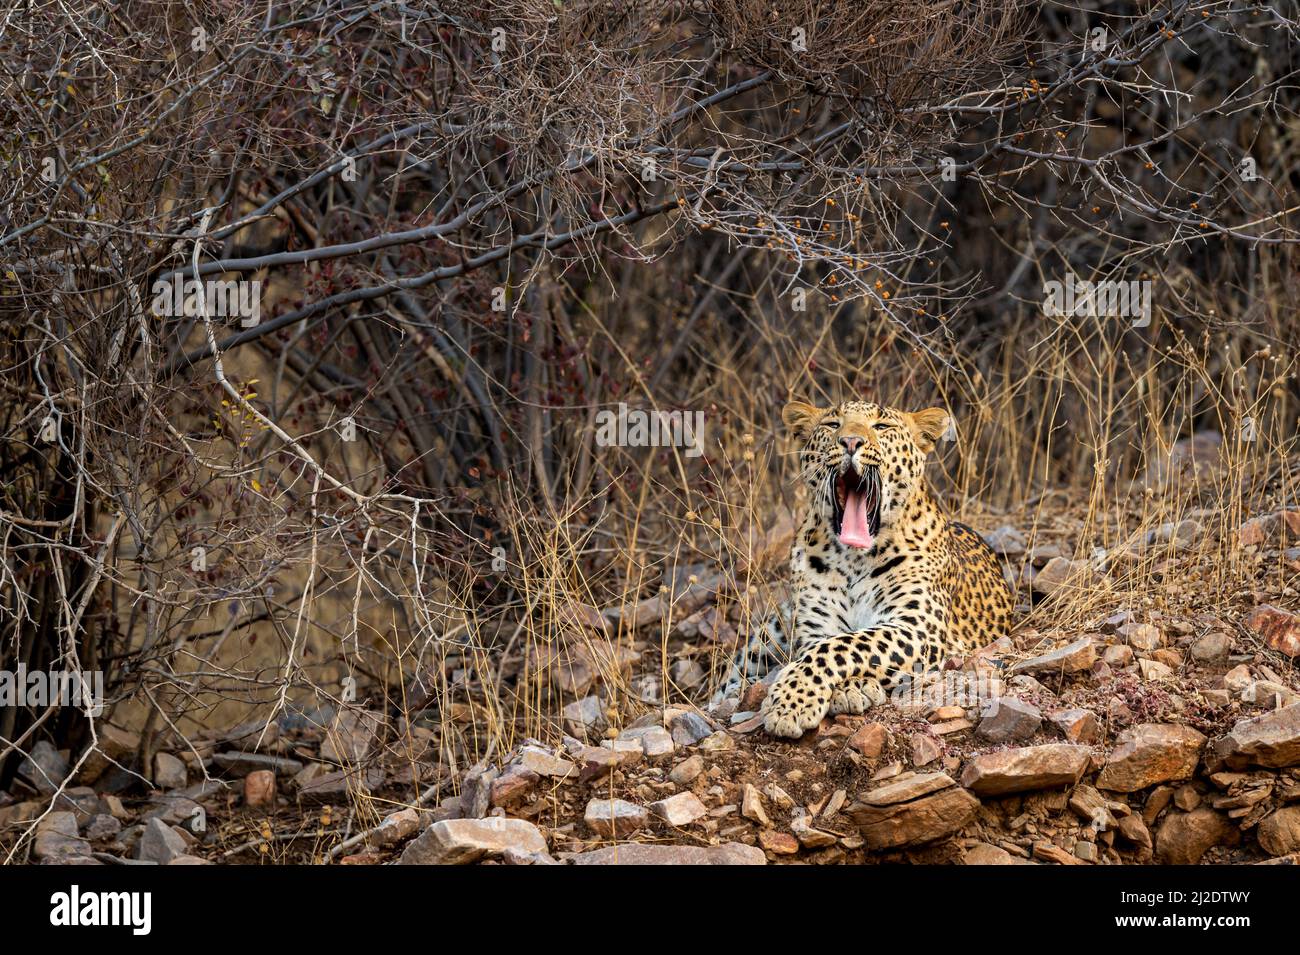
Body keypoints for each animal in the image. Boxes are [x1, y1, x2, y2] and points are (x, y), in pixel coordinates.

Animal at [714, 397, 1013, 738]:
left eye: (881, 426)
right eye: (833, 424)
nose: (850, 442)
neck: (854, 559)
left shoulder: (916, 627)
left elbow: (844, 645)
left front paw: (792, 703)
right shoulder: (815, 626)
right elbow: (823, 648)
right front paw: (811, 696)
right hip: (768, 635)